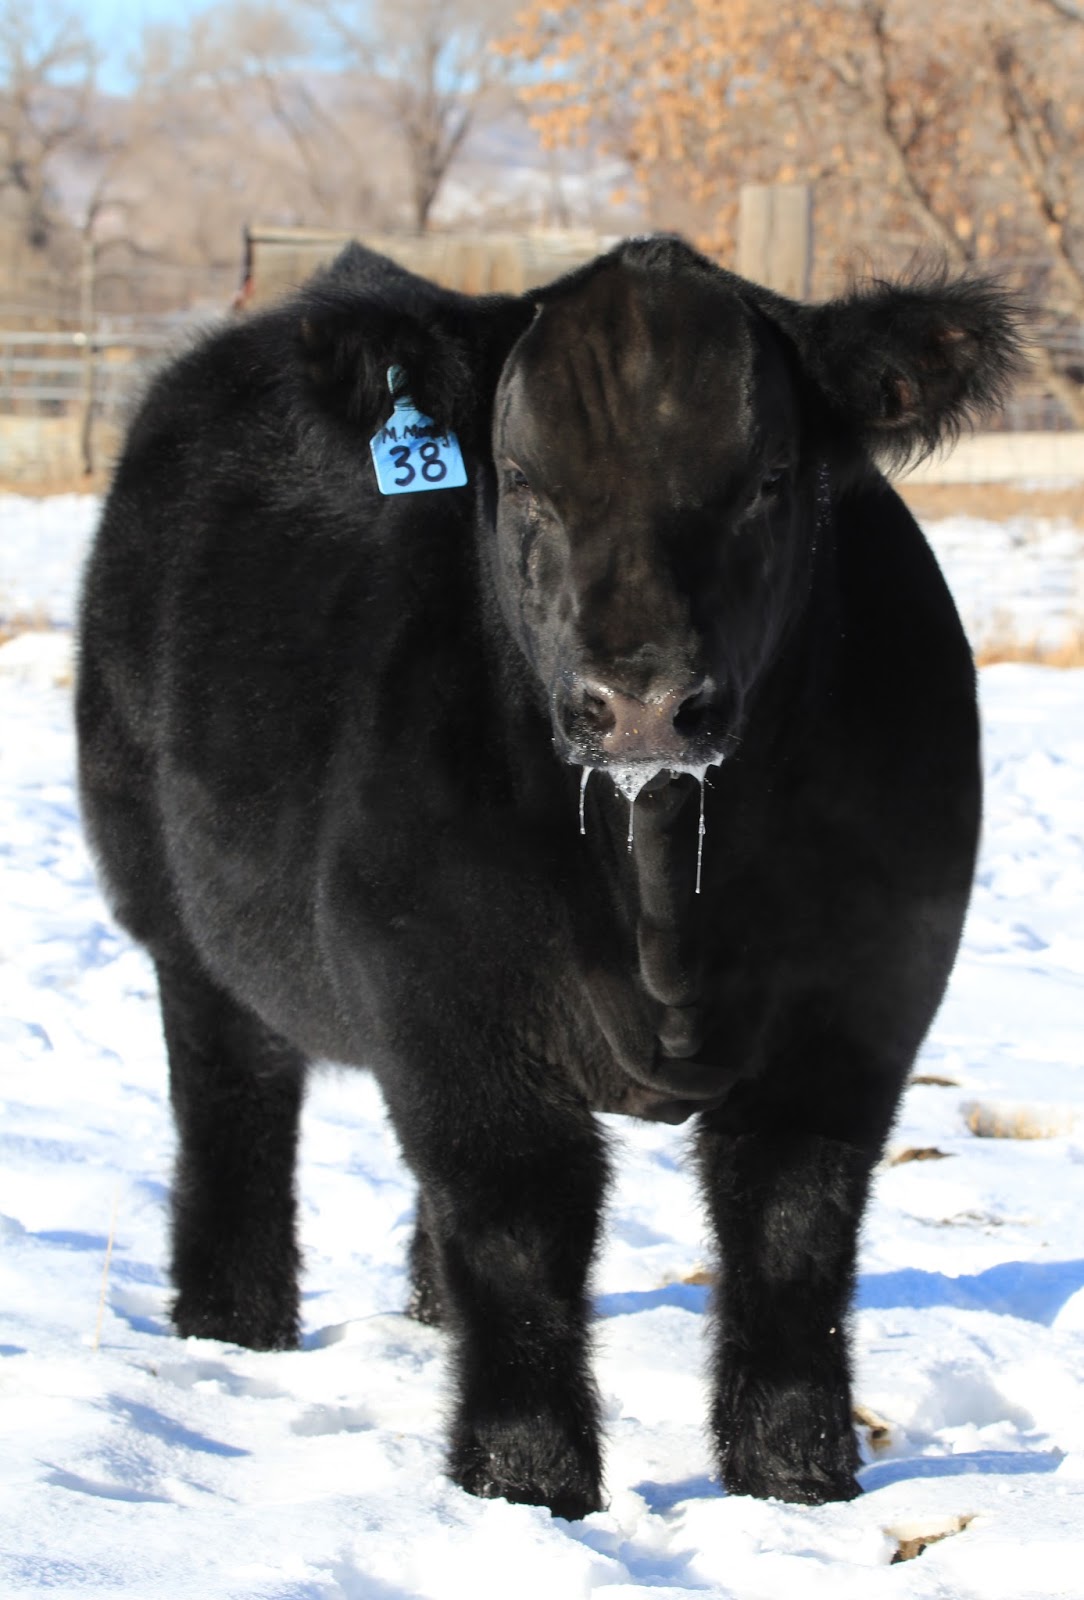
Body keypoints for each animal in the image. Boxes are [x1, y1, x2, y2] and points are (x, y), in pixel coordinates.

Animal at [76, 236, 1021, 1519]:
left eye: (769, 478)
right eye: (521, 481)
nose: (640, 702)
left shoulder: (862, 998)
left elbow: (791, 1225)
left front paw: (795, 1476)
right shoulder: (445, 992)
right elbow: (521, 1226)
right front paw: (524, 1483)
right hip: (180, 920)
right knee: (236, 1101)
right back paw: (233, 1325)